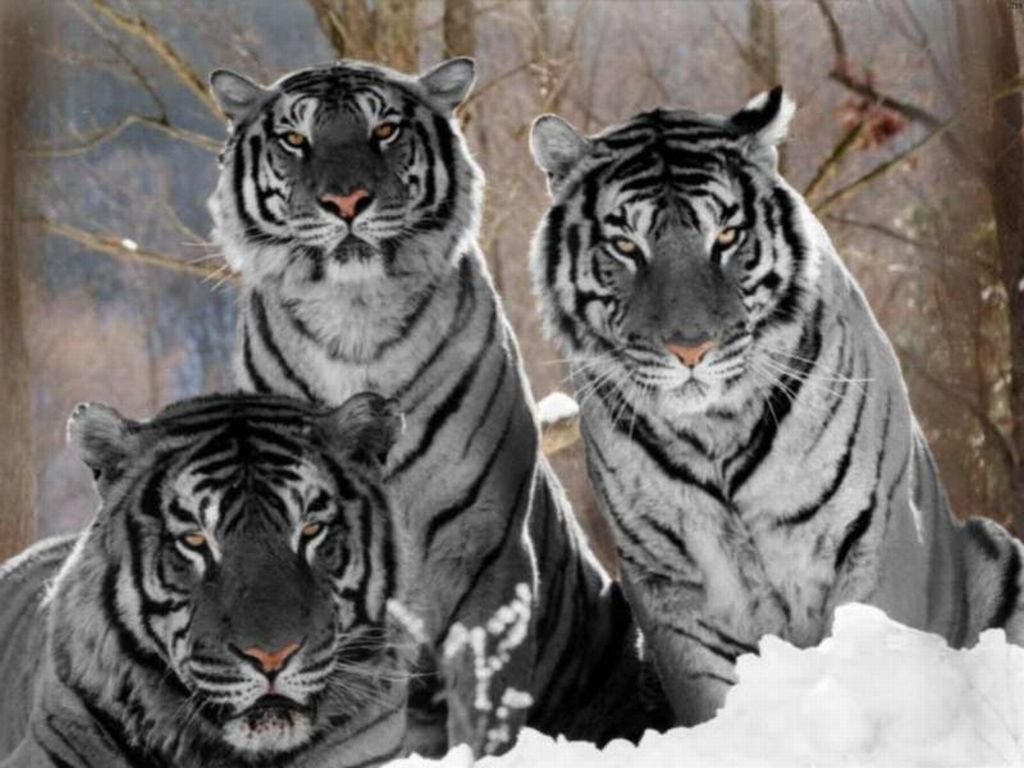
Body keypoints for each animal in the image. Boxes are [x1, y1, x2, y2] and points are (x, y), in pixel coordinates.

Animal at [206, 57, 667, 754]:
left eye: (385, 129)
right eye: (295, 139)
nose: (346, 202)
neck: (353, 320)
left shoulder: (486, 554)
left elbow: (484, 705)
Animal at [527, 87, 1024, 726]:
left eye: (726, 237)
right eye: (625, 246)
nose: (690, 348)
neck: (715, 430)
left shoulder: (876, 536)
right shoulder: (670, 584)